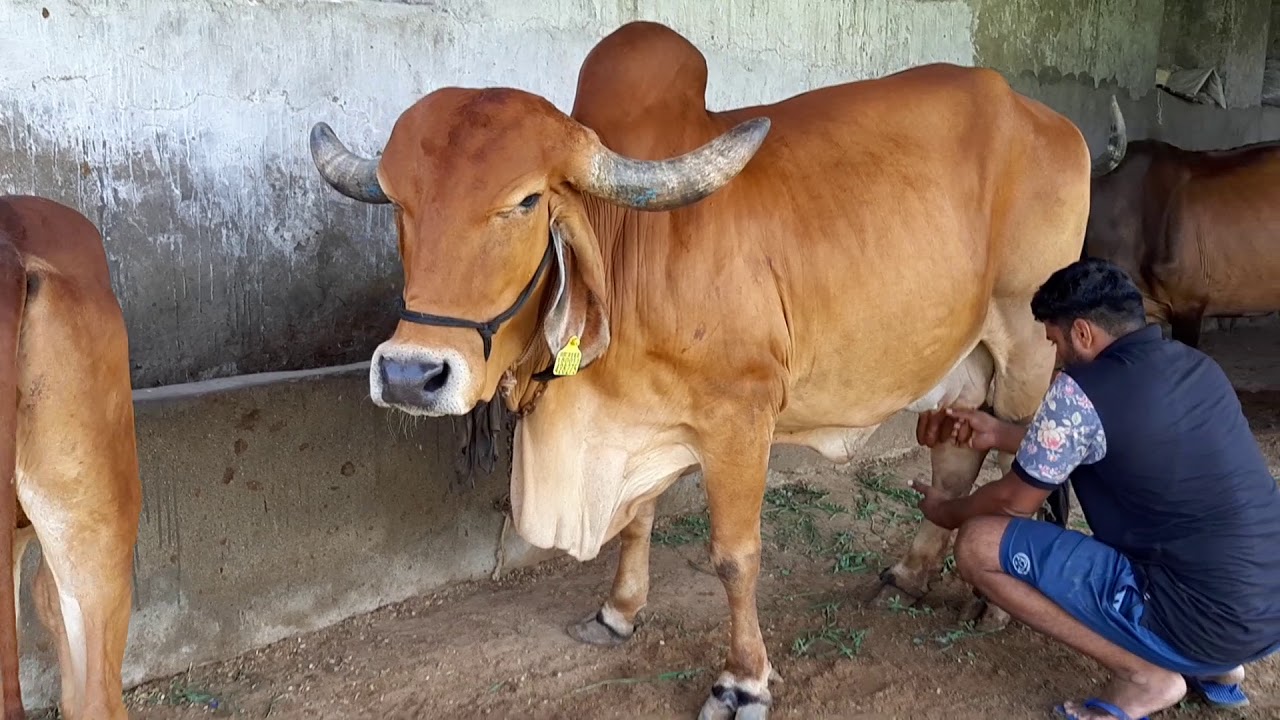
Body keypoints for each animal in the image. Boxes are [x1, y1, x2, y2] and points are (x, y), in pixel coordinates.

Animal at [308, 22, 1117, 718]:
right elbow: (636, 521)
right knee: (954, 458)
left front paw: (743, 682)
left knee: (1017, 456)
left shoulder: (741, 416)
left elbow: (735, 556)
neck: (631, 248)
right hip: (965, 354)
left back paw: (989, 605)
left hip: (1026, 343)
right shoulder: (639, 420)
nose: (409, 375)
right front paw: (618, 612)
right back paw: (910, 575)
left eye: (527, 200)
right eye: (398, 204)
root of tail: (1045, 118)